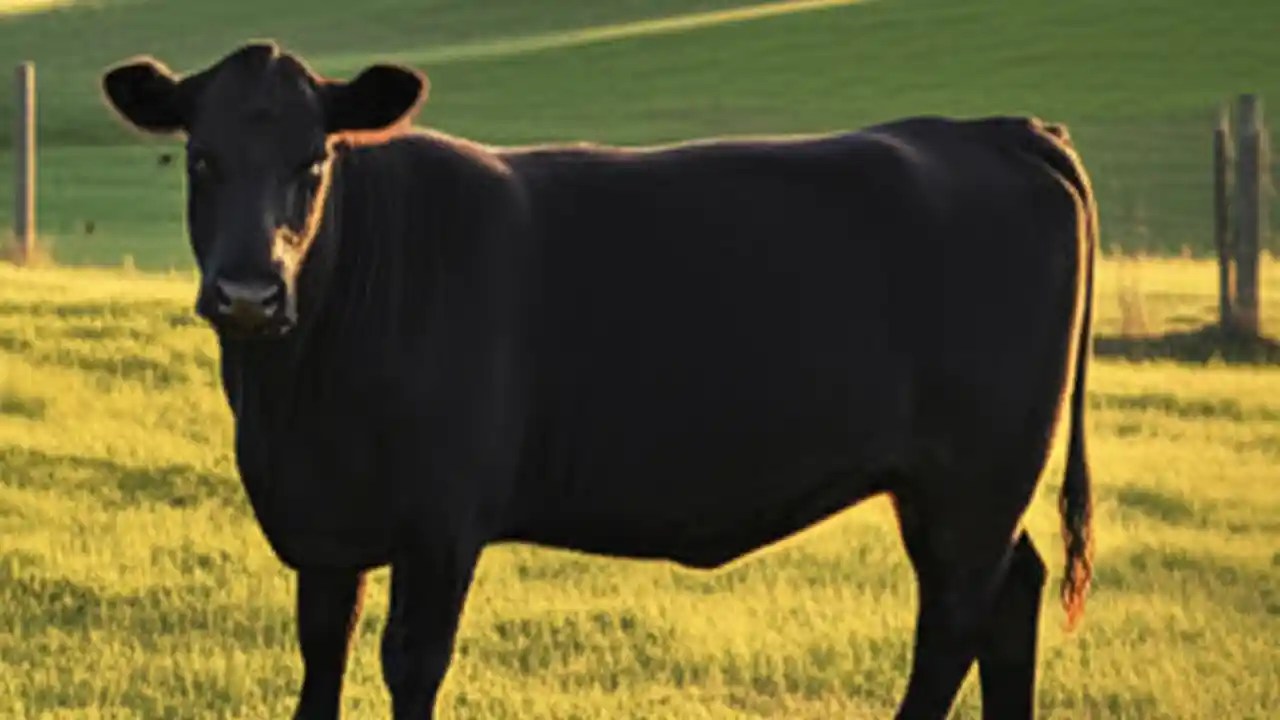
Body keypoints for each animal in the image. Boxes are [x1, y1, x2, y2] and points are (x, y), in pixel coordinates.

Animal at [100, 40, 1097, 720]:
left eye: (315, 162)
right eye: (200, 158)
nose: (248, 293)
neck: (292, 402)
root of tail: (998, 132)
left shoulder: (440, 526)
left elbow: (409, 665)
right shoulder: (327, 528)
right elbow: (322, 661)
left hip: (972, 483)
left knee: (956, 620)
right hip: (963, 492)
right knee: (1013, 596)